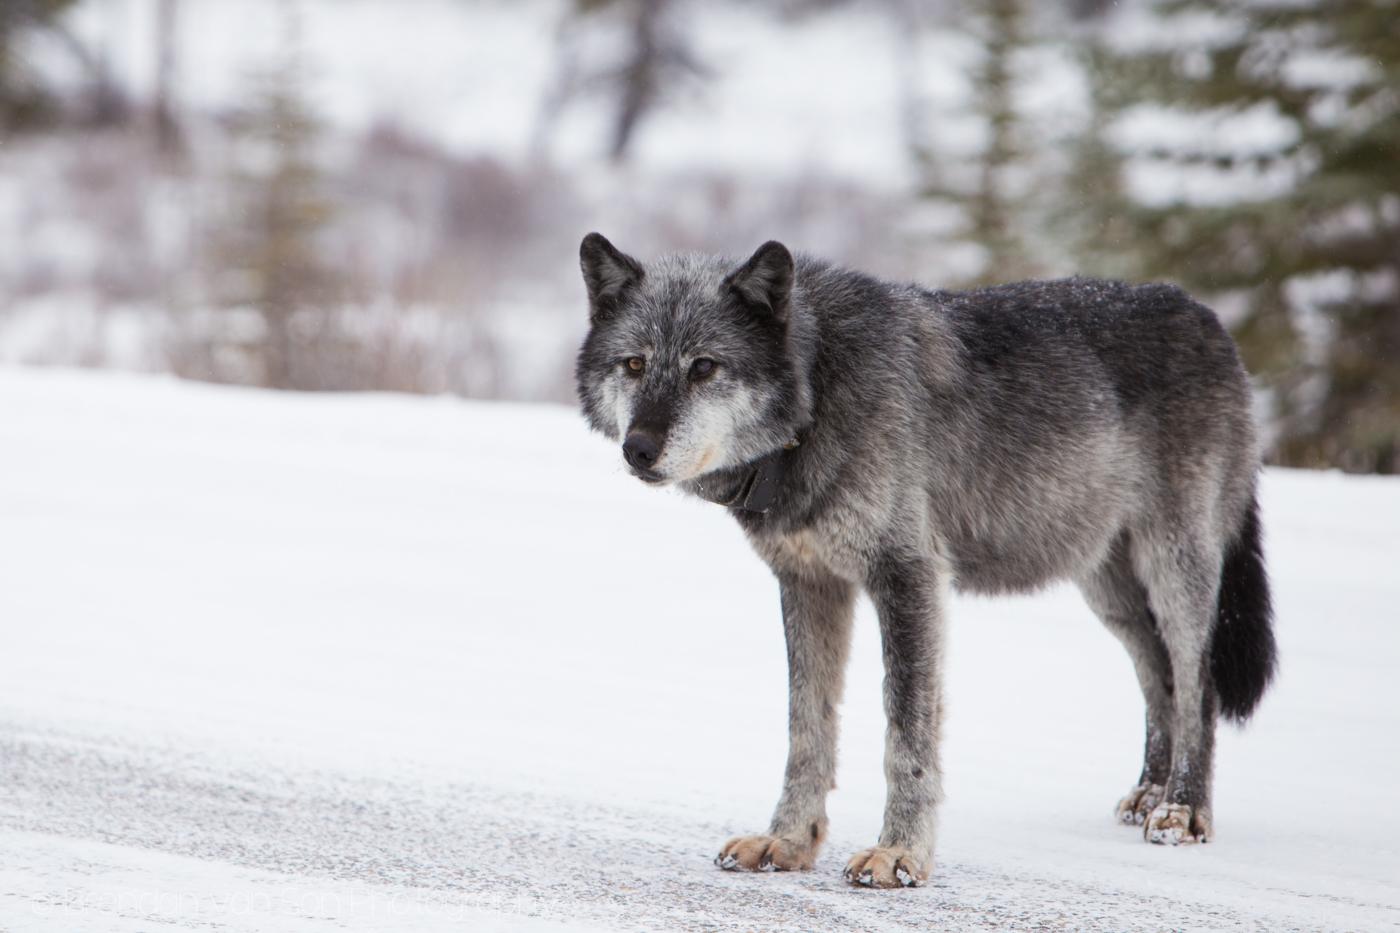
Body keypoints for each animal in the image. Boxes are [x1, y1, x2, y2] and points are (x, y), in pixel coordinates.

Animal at [574, 232, 1277, 888]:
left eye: (704, 367)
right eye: (634, 363)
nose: (639, 448)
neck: (821, 386)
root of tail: (1207, 316)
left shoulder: (907, 577)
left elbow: (905, 731)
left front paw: (899, 856)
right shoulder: (808, 582)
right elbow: (807, 728)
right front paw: (788, 842)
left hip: (1174, 566)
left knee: (1197, 680)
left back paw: (1182, 811)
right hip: (1108, 589)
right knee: (1157, 673)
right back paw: (1149, 794)